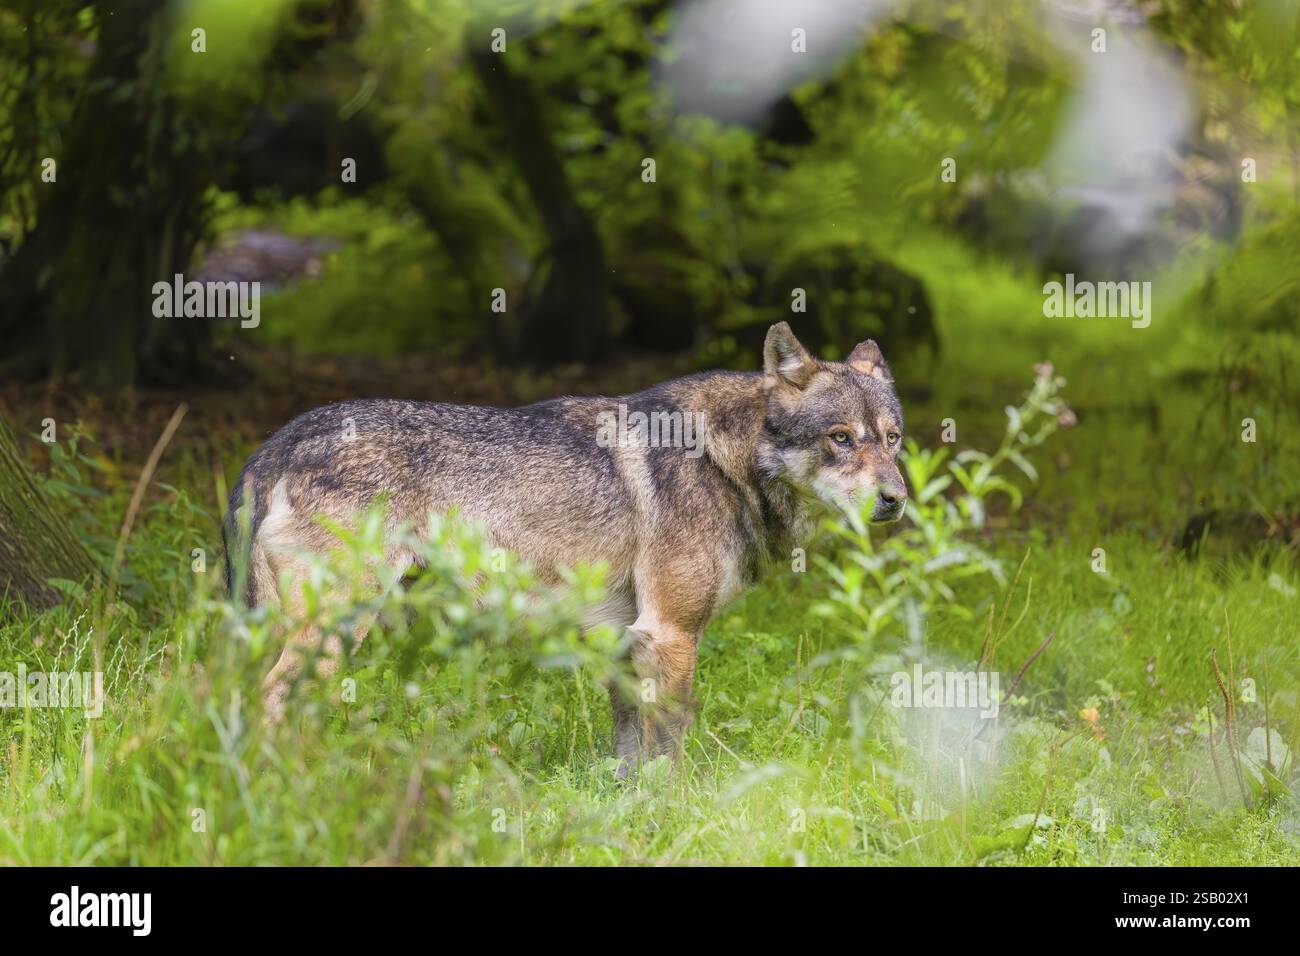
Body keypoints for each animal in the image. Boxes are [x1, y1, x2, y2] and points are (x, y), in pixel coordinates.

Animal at [223, 322, 906, 771]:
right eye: (841, 438)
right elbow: (670, 747)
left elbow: (631, 753)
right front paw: (676, 809)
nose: (896, 500)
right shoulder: (671, 634)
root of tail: (277, 443)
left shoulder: (628, 640)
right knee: (271, 699)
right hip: (337, 628)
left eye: (893, 439)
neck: (725, 459)